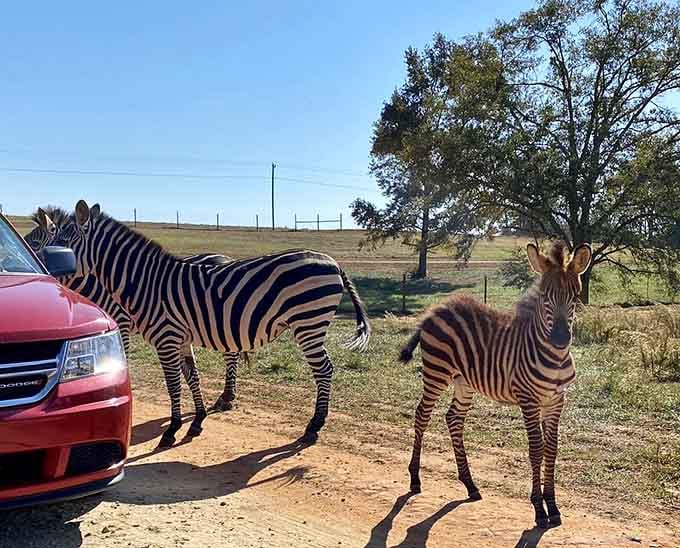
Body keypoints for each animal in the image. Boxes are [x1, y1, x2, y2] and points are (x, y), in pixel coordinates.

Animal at [53, 200, 371, 447]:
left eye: (64, 243)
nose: (48, 270)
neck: (145, 283)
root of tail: (333, 262)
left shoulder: (165, 338)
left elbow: (173, 384)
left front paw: (171, 430)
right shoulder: (181, 339)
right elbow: (192, 377)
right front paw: (197, 421)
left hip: (309, 323)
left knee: (324, 370)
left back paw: (314, 426)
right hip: (311, 323)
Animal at [399, 241, 591, 529]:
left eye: (575, 296)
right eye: (545, 297)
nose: (559, 339)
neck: (554, 358)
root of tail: (438, 308)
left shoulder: (556, 400)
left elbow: (552, 449)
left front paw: (553, 506)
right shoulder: (528, 400)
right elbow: (536, 449)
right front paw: (539, 509)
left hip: (464, 381)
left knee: (453, 418)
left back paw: (470, 485)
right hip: (437, 372)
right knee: (422, 414)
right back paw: (415, 479)